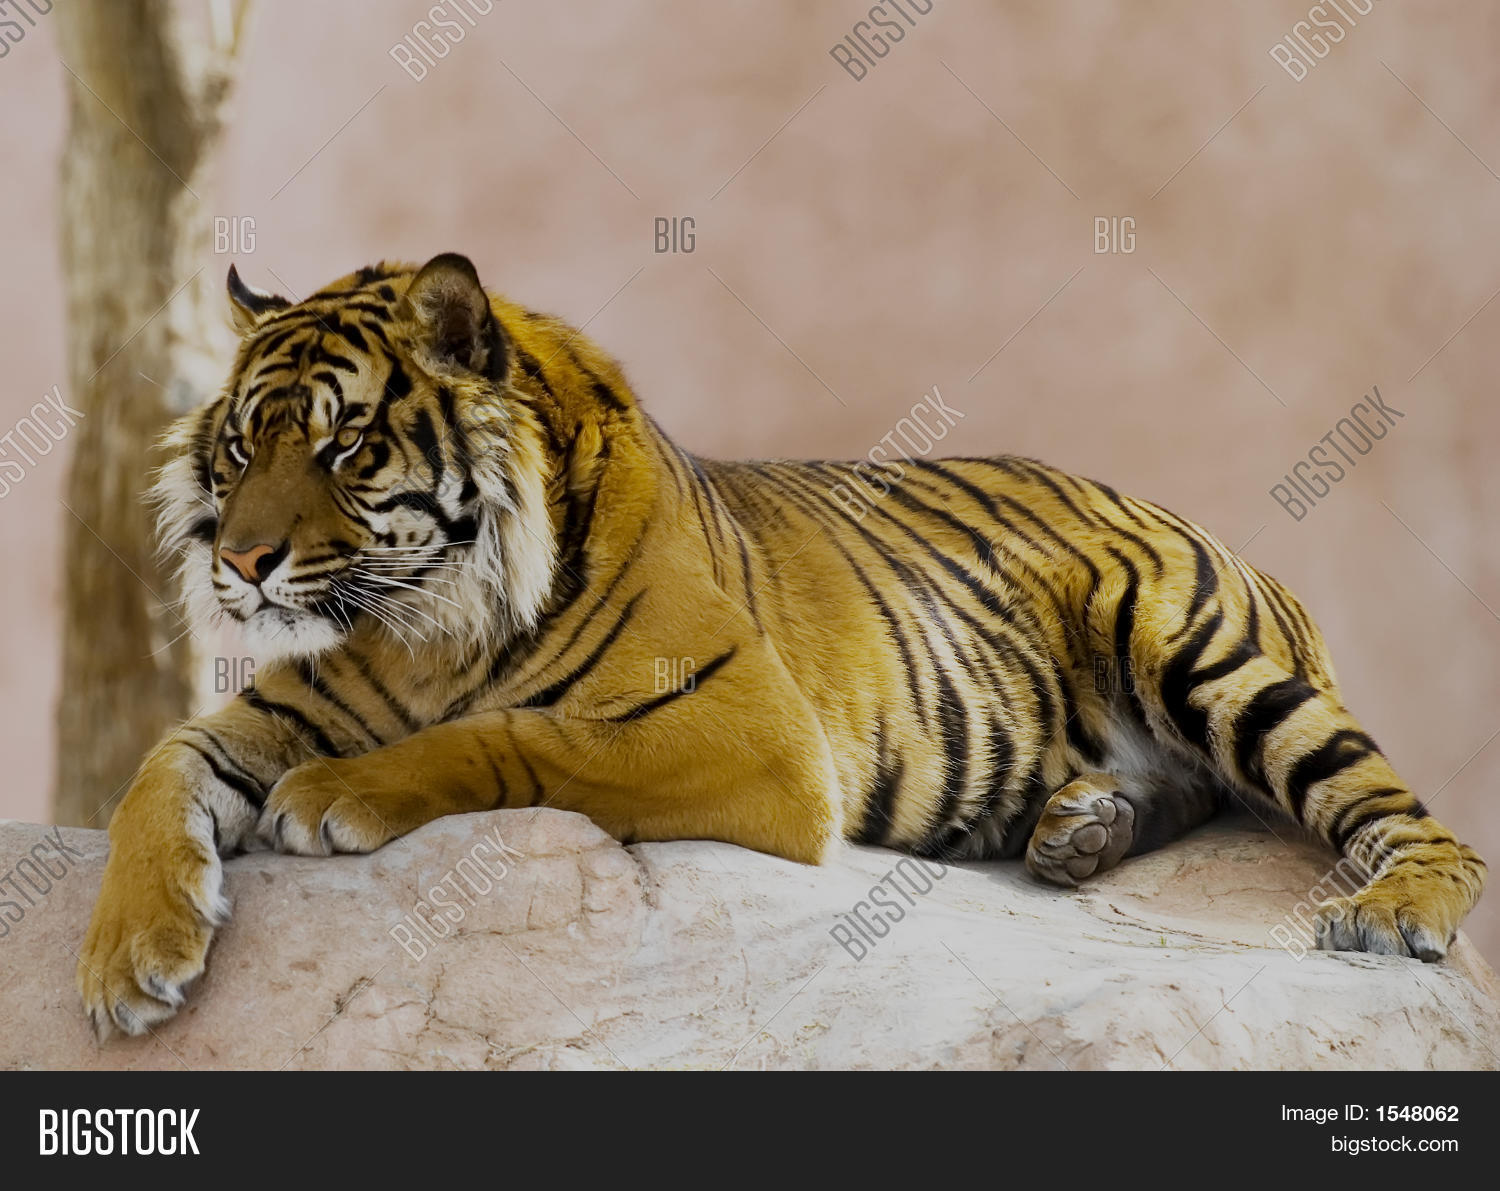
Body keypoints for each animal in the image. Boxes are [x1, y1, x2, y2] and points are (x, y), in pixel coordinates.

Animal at [77, 252, 1485, 1038]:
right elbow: (158, 768)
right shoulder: (301, 699)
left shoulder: (749, 731)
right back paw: (1075, 833)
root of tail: (1203, 522)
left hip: (1206, 653)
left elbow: (511, 736)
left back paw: (1390, 916)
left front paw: (331, 799)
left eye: (345, 446)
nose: (241, 562)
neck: (430, 624)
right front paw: (128, 960)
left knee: (1421, 826)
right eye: (240, 448)